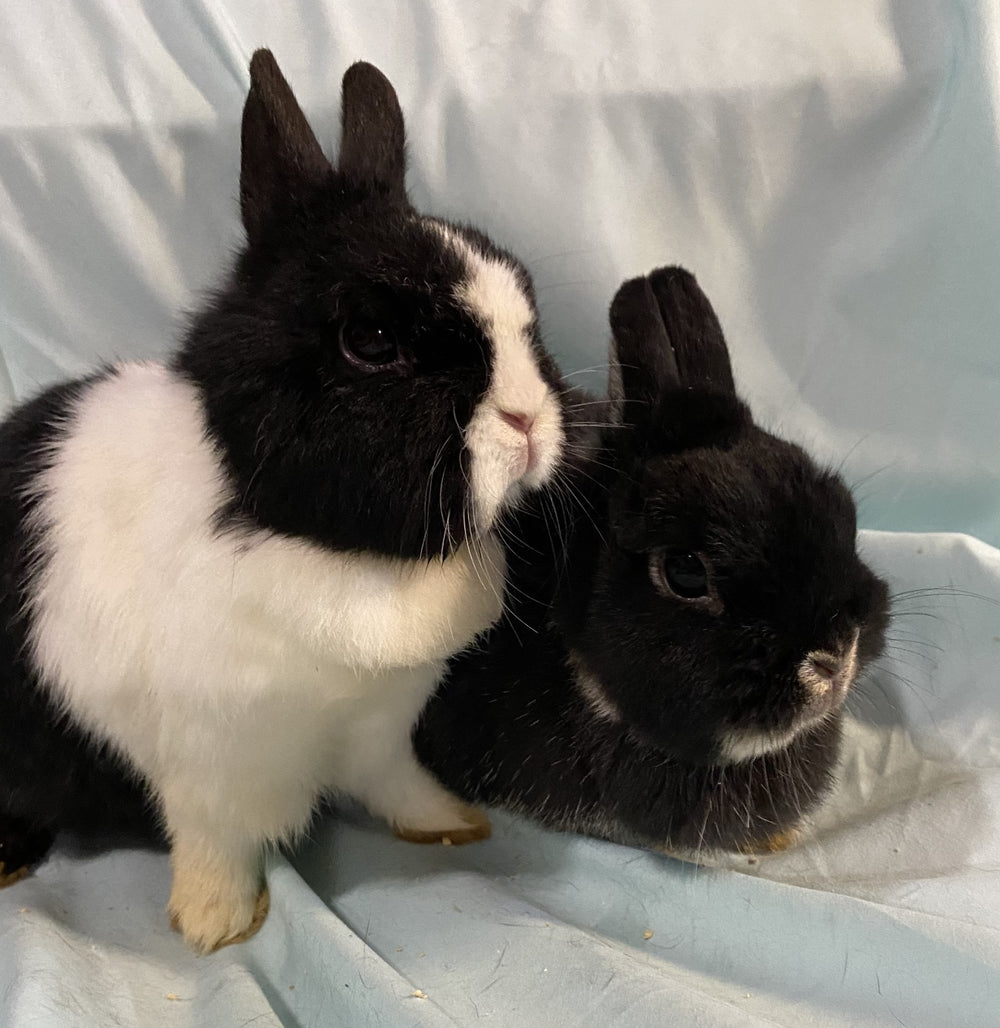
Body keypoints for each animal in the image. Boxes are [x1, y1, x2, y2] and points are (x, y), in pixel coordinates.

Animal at [0, 49, 565, 952]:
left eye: (526, 306)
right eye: (371, 340)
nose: (529, 419)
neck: (316, 540)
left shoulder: (380, 729)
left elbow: (398, 782)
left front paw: (450, 822)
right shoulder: (210, 763)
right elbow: (213, 842)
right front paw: (216, 925)